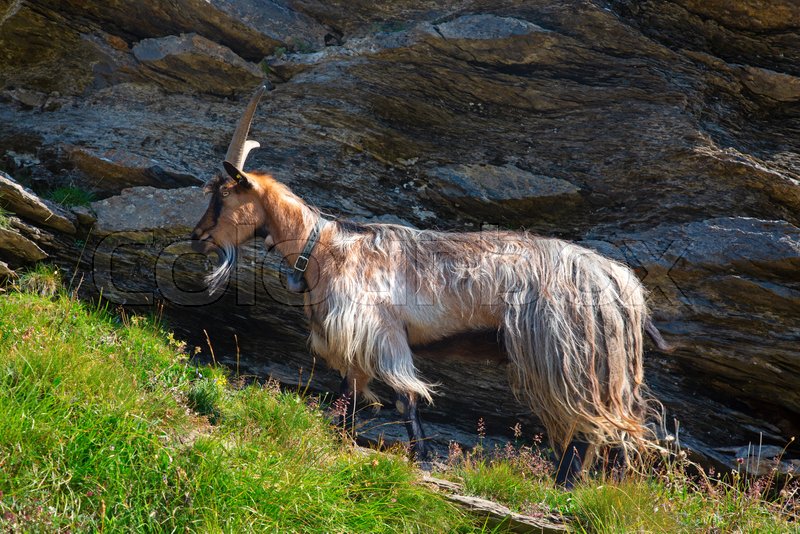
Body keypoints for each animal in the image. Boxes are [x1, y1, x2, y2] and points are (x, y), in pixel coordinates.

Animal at [191, 84, 667, 487]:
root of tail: (621, 285)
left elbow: (405, 398)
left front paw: (420, 460)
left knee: (588, 425)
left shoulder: (378, 329)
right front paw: (341, 439)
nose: (197, 237)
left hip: (569, 354)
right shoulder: (354, 339)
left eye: (223, 196)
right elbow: (349, 395)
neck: (326, 245)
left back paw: (564, 487)